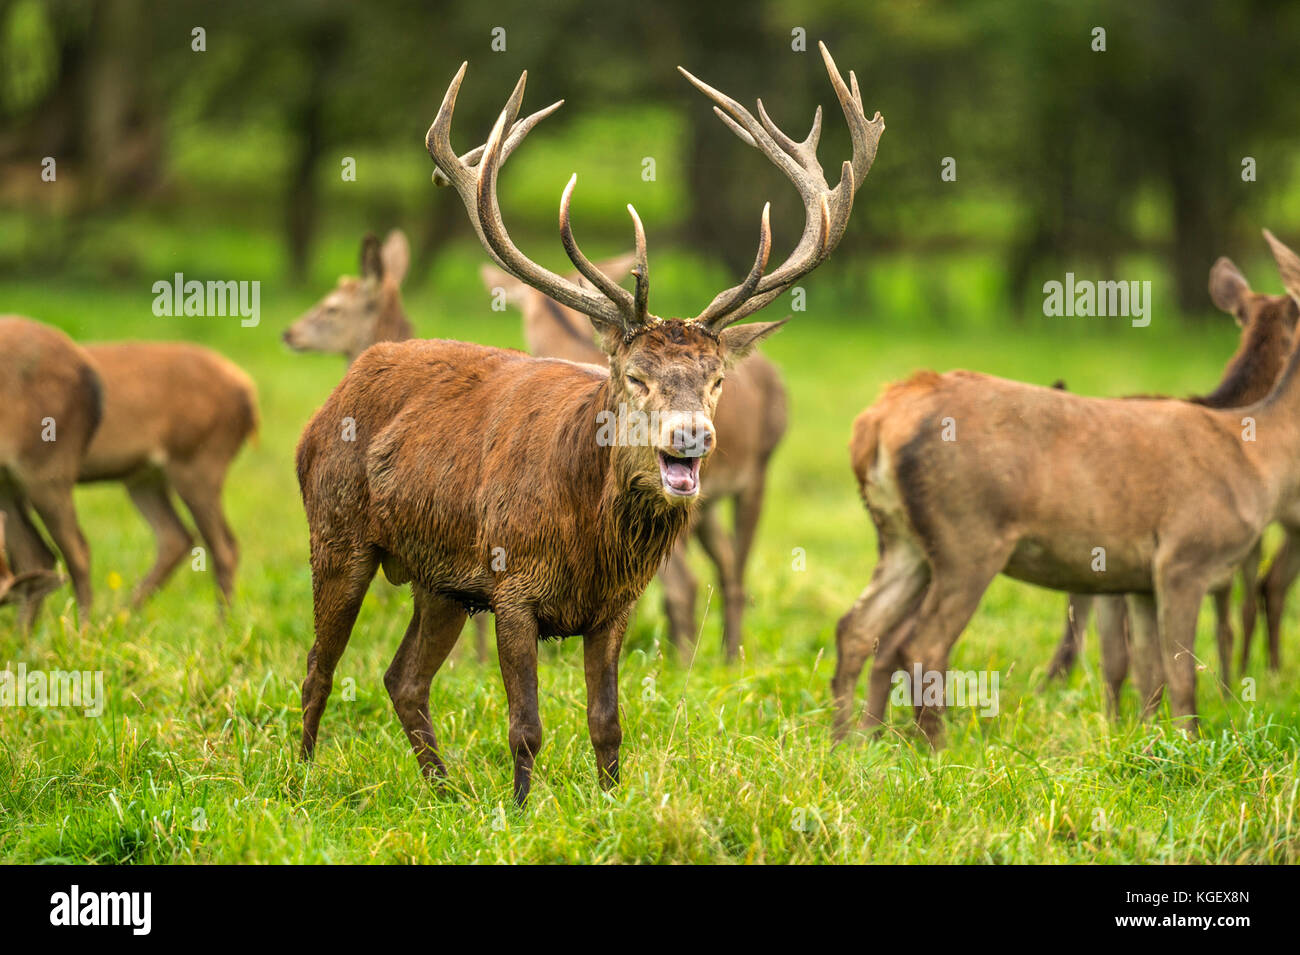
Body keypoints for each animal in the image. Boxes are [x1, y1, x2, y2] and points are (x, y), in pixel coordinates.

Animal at [0, 316, 102, 629]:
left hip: (49, 468)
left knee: (78, 550)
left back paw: (82, 633)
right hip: (9, 480)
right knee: (35, 555)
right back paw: (23, 636)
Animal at [77, 342, 258, 608]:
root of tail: (247, 389)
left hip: (197, 459)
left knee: (224, 547)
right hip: (146, 476)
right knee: (175, 537)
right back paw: (125, 612)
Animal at [479, 261, 789, 660]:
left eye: (718, 380)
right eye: (635, 378)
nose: (693, 435)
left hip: (758, 471)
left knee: (703, 577)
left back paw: (697, 658)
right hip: (706, 503)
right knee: (727, 566)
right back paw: (721, 656)